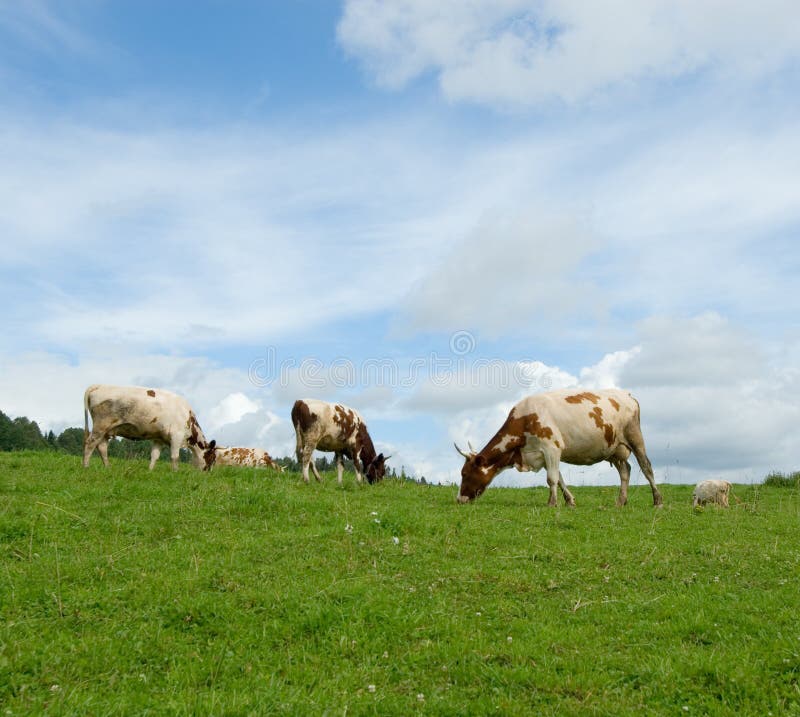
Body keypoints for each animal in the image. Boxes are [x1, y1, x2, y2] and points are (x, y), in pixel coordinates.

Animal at [83, 384, 216, 471]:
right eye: (212, 457)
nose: (208, 472)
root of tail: (99, 385)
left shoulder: (159, 438)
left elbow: (154, 456)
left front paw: (150, 470)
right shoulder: (176, 436)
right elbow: (175, 456)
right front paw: (175, 472)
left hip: (106, 430)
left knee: (102, 447)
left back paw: (107, 467)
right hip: (101, 425)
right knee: (90, 443)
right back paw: (86, 466)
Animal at [455, 388, 663, 508]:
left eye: (464, 473)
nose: (458, 499)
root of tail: (628, 396)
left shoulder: (551, 448)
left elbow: (552, 478)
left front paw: (552, 503)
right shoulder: (543, 454)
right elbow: (560, 478)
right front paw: (569, 501)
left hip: (635, 436)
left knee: (646, 467)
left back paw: (657, 501)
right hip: (614, 449)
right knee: (625, 470)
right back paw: (620, 502)